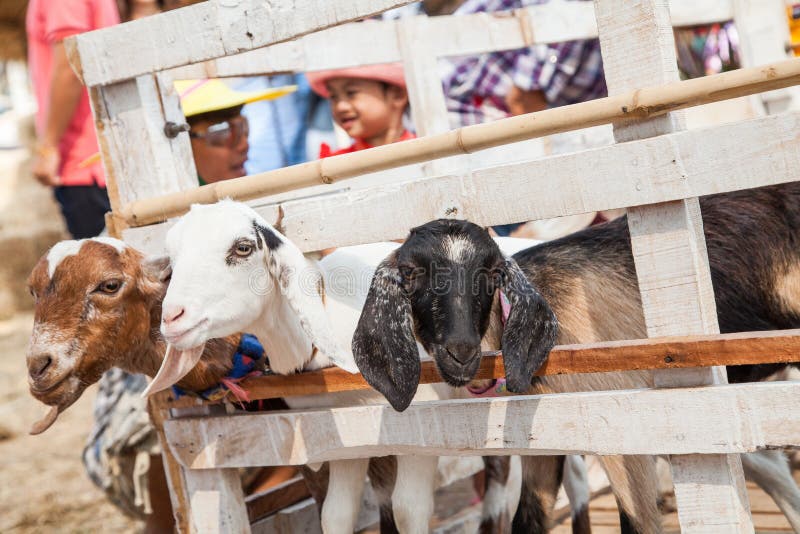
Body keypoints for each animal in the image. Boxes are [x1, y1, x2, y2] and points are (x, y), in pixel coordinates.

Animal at [352, 182, 800, 533]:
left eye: (493, 272)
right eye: (410, 273)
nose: (461, 351)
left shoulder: (627, 434)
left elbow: (636, 524)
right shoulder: (546, 439)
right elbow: (527, 520)